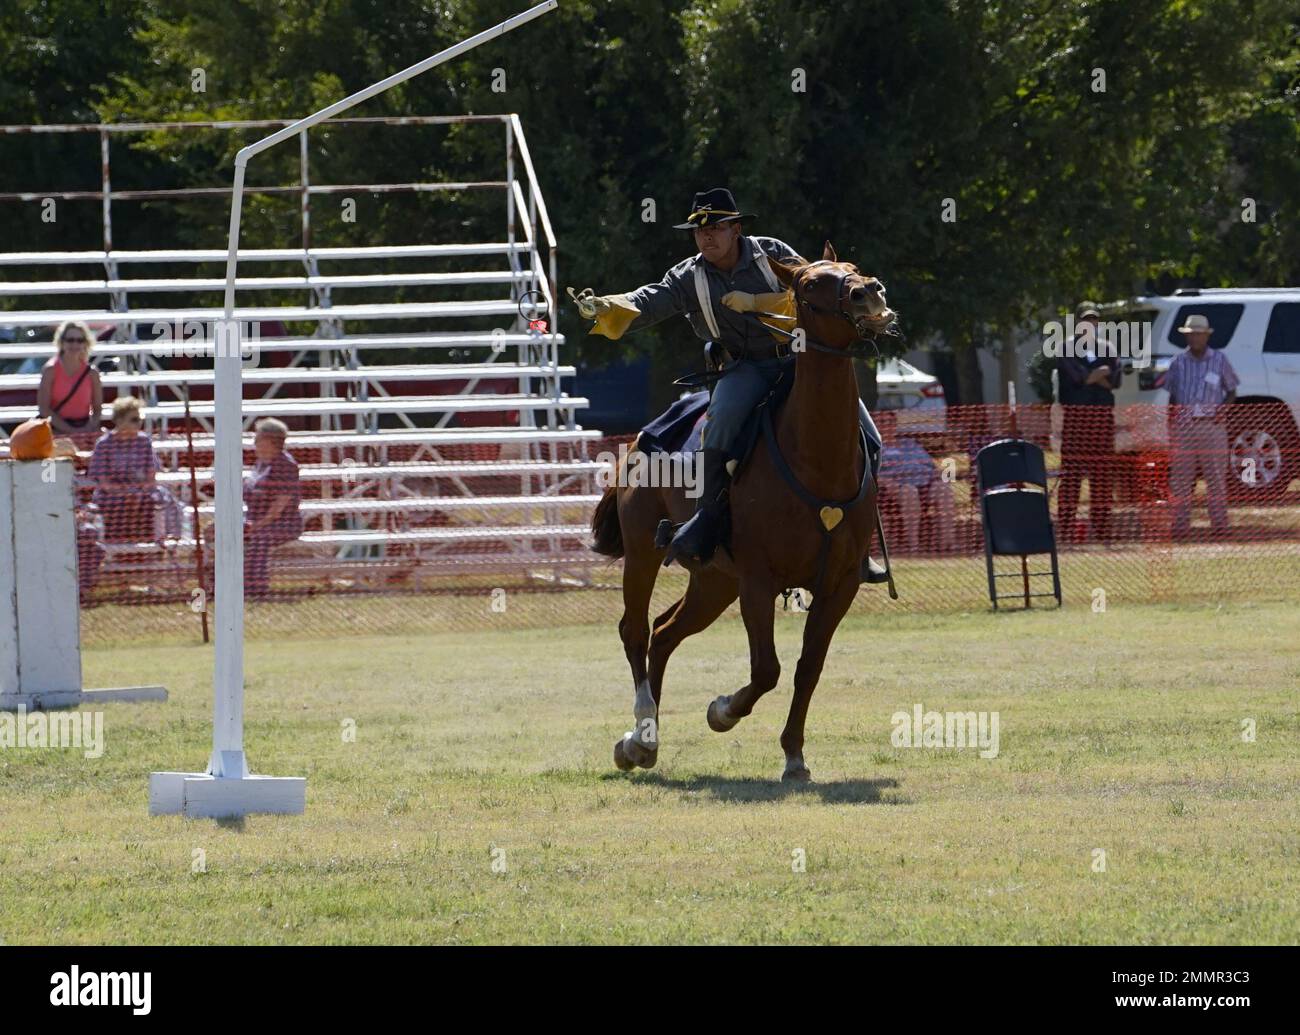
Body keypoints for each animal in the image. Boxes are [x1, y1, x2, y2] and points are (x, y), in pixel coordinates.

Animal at [589, 241, 896, 781]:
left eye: (853, 269)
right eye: (810, 284)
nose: (870, 293)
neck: (816, 459)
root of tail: (643, 438)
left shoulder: (840, 585)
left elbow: (807, 668)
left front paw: (794, 755)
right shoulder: (758, 581)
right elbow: (767, 669)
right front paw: (722, 711)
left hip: (713, 580)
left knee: (664, 633)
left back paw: (647, 742)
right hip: (646, 555)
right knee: (636, 631)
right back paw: (638, 737)